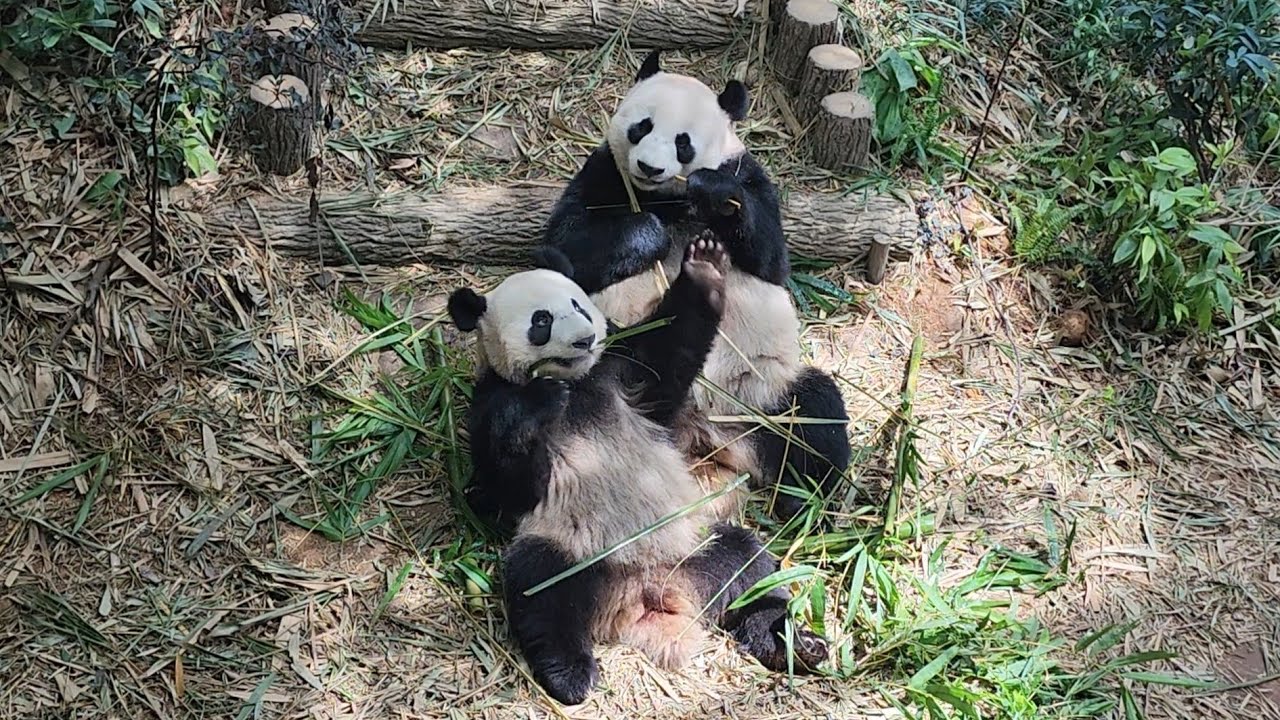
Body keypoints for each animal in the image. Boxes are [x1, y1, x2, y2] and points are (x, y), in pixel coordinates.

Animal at [447, 238, 828, 705]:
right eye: (542, 321)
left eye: (579, 303)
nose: (585, 338)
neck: (580, 384)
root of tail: (646, 592)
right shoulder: (491, 401)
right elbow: (501, 489)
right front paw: (540, 401)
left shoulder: (619, 368)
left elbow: (666, 359)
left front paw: (704, 267)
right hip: (573, 548)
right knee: (541, 592)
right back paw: (570, 675)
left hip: (695, 545)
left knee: (750, 569)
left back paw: (792, 644)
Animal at [542, 49, 852, 522]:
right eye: (642, 126)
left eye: (683, 142)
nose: (649, 167)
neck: (665, 196)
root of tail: (703, 439)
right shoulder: (602, 174)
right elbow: (568, 242)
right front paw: (651, 233)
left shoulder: (748, 175)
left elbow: (771, 259)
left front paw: (713, 193)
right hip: (626, 359)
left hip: (760, 397)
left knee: (816, 417)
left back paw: (805, 503)